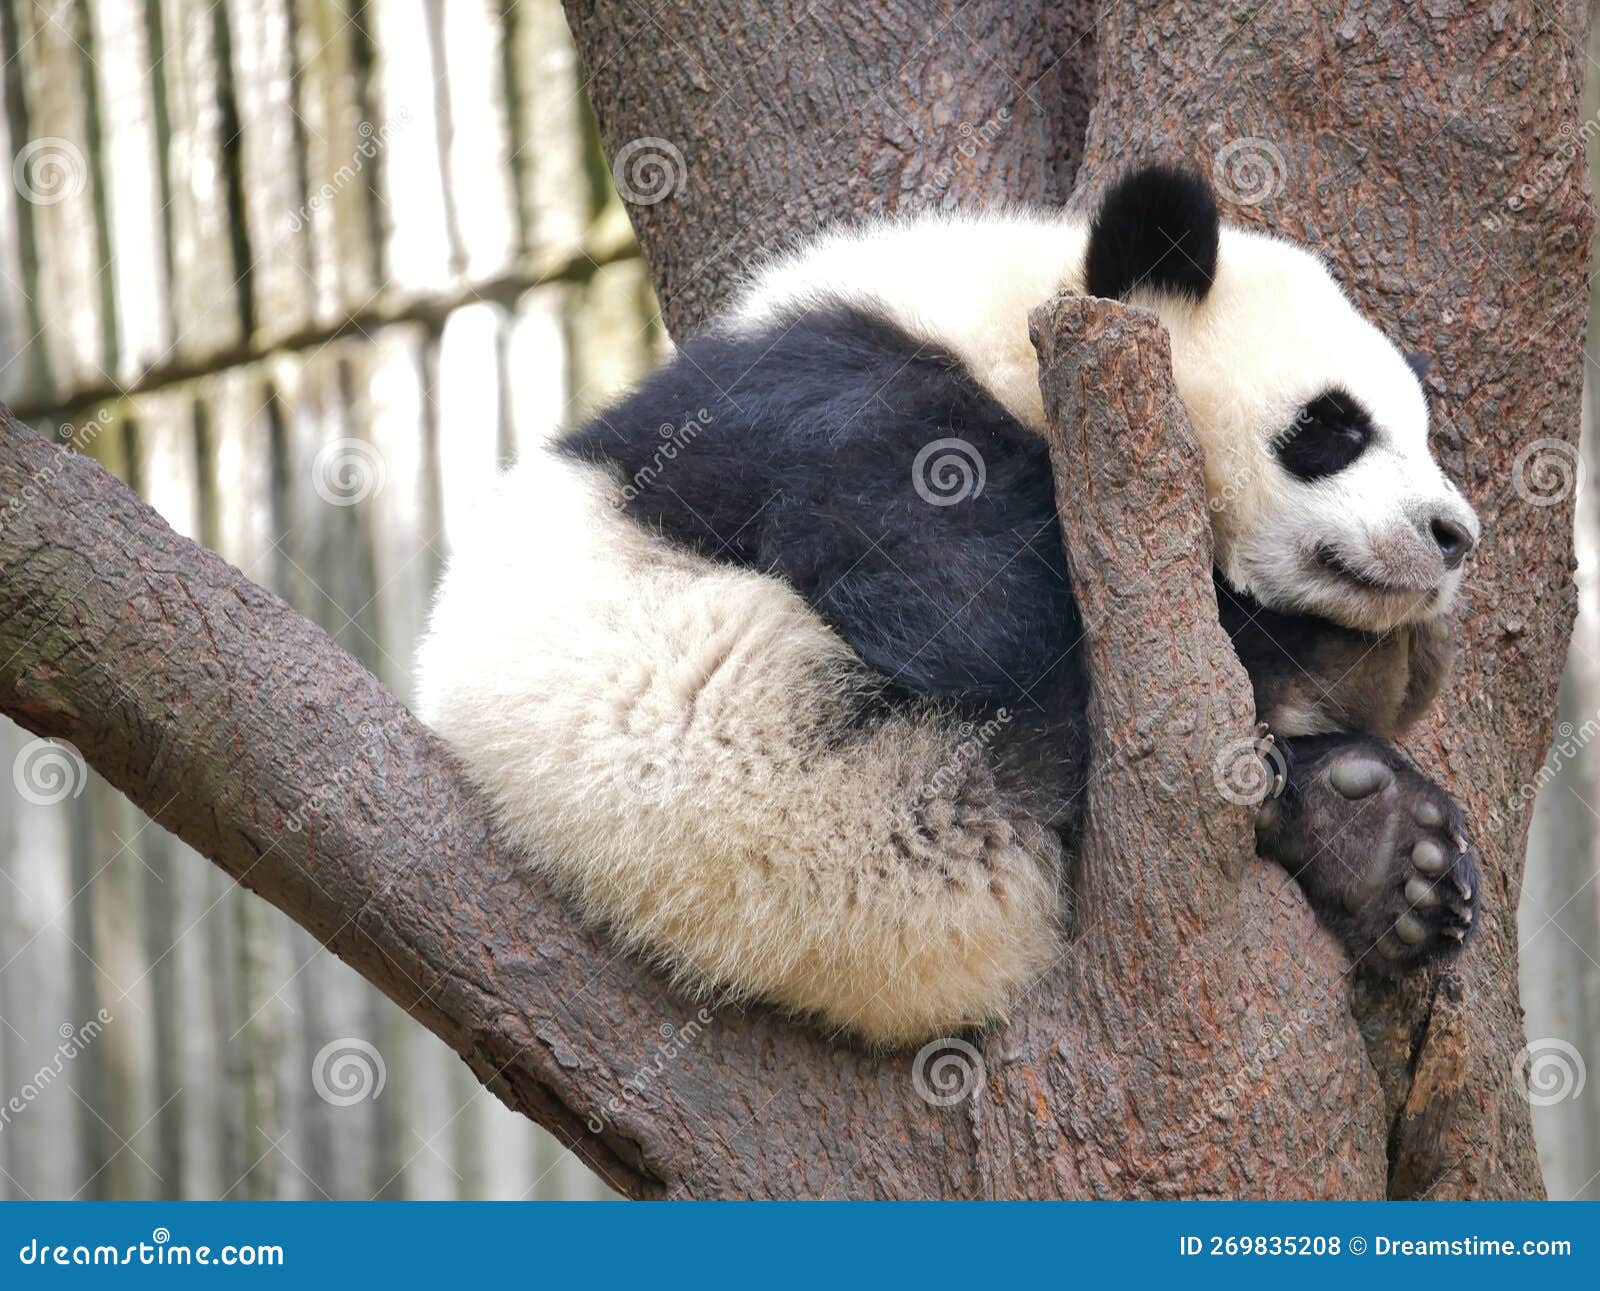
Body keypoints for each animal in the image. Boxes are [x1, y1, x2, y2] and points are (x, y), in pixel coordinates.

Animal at [415, 165, 1481, 1046]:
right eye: (1333, 427)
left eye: (1423, 433)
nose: (1452, 534)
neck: (1005, 316)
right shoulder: (841, 396)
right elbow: (969, 607)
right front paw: (1332, 643)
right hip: (787, 764)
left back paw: (1390, 852)